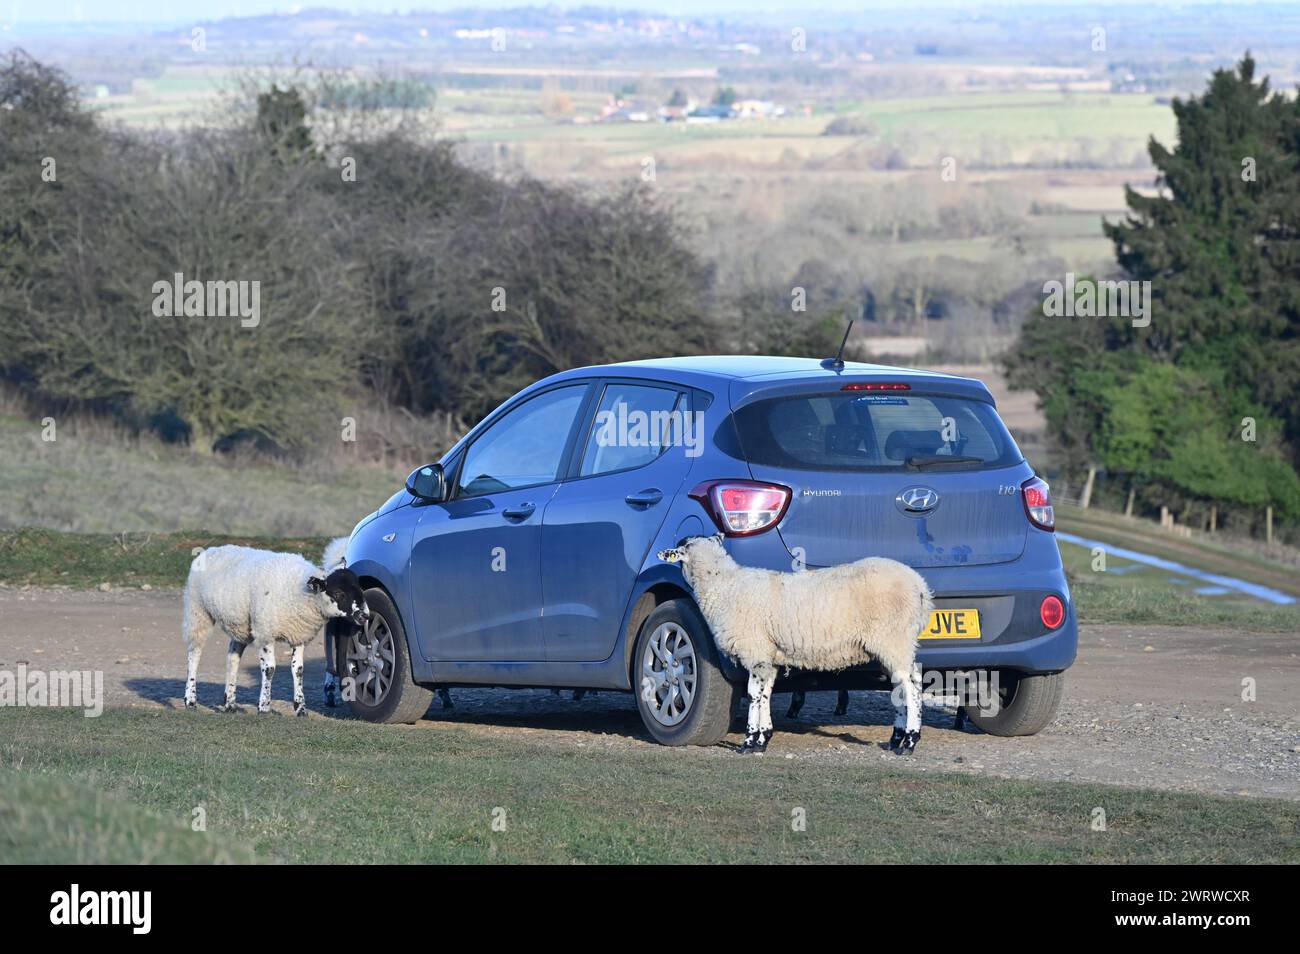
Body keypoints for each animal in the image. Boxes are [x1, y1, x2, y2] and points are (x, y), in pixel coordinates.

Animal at [182, 545, 368, 715]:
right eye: (338, 593)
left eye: (360, 589)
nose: (364, 615)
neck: (299, 591)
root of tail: (210, 550)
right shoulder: (265, 633)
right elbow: (269, 669)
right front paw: (264, 706)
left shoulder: (299, 634)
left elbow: (298, 670)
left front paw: (300, 707)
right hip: (198, 612)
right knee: (194, 654)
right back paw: (190, 700)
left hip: (240, 626)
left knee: (232, 658)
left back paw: (230, 703)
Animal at [657, 535, 932, 755]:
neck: (723, 586)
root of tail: (920, 586)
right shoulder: (767, 657)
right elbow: (765, 693)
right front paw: (763, 739)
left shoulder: (755, 651)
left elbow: (753, 694)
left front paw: (748, 742)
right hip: (894, 644)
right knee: (901, 686)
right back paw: (896, 739)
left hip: (893, 638)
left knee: (912, 685)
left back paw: (910, 741)